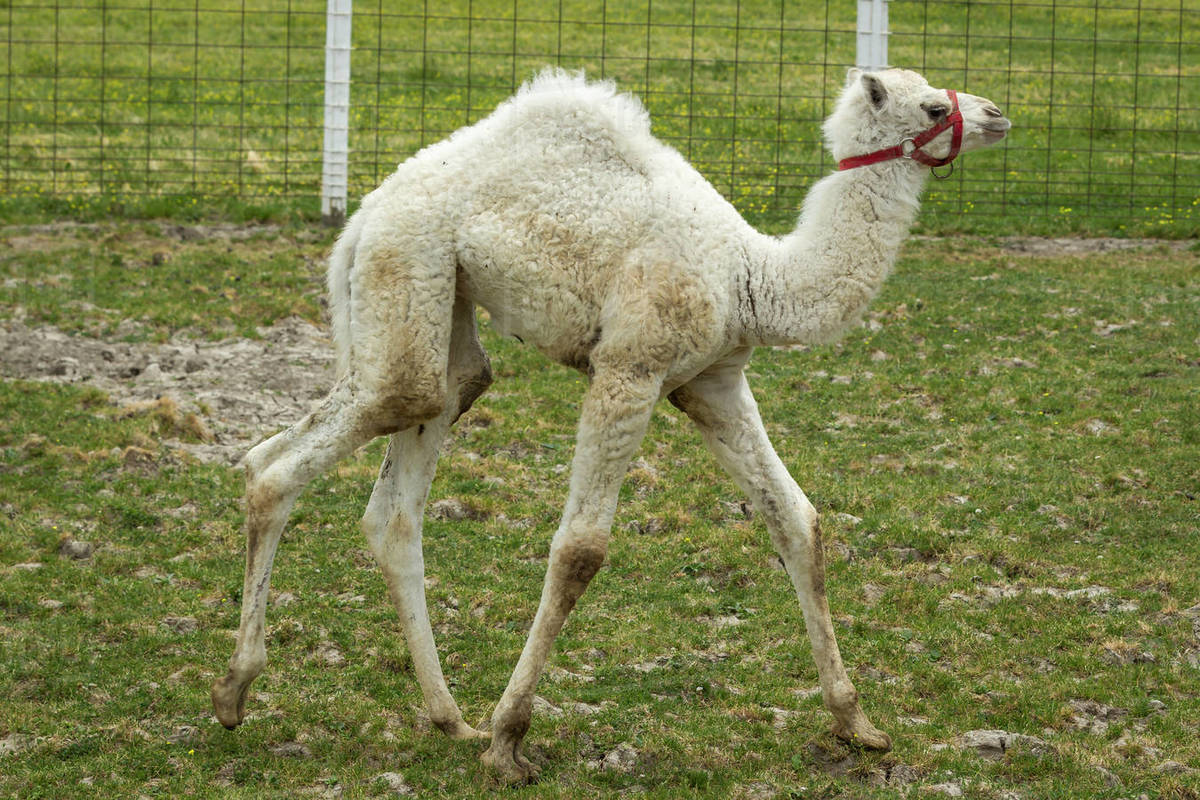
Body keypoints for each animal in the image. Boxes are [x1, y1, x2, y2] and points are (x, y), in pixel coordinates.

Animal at [211, 66, 1010, 782]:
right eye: (932, 105)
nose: (998, 113)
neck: (752, 275)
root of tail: (362, 218)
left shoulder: (713, 381)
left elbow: (796, 519)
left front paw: (857, 724)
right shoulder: (629, 369)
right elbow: (581, 551)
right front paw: (510, 740)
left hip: (443, 326)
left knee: (397, 499)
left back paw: (447, 717)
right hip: (406, 277)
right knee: (277, 465)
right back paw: (235, 692)